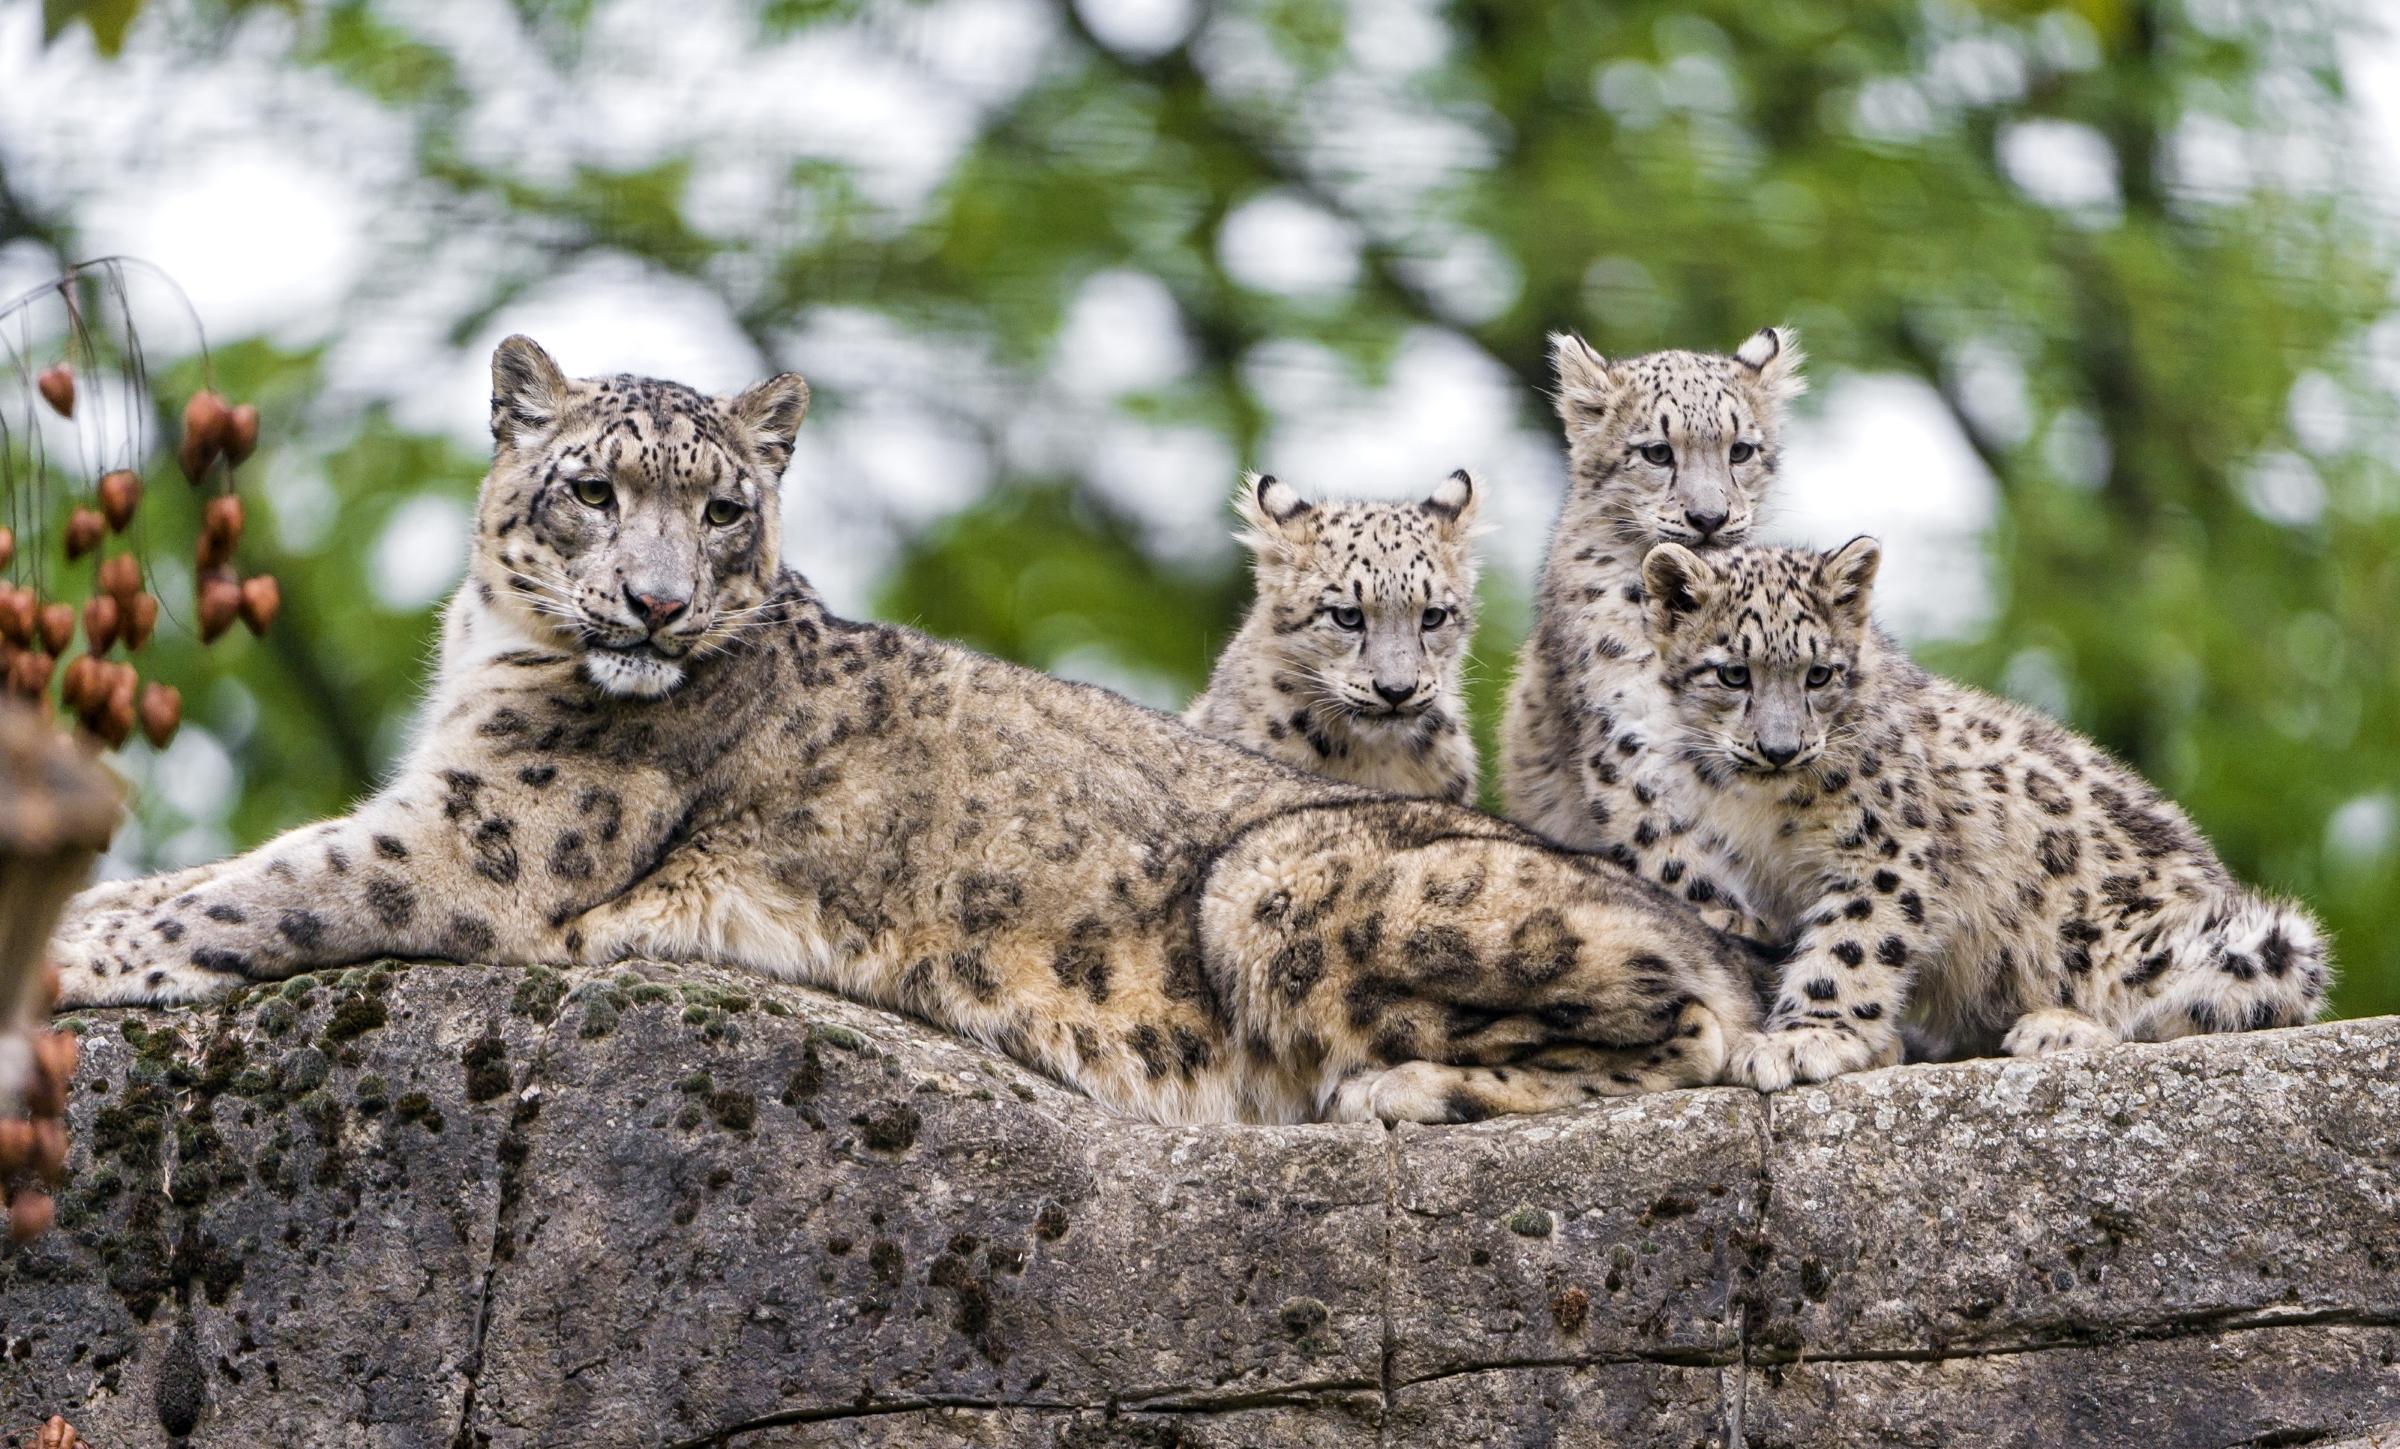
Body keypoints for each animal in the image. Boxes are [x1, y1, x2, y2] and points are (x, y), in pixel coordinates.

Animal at [1498, 327, 1804, 933]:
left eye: (1740, 450)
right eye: (1657, 452)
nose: (1709, 518)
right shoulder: (1625, 721)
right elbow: (1663, 839)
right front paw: (1730, 916)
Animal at [1638, 536, 2331, 1091]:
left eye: (1819, 674)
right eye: (1733, 674)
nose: (1780, 748)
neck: (1766, 818)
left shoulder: (1886, 854)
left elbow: (1850, 948)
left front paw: (1802, 1039)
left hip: (2236, 942)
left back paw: (2058, 1027)